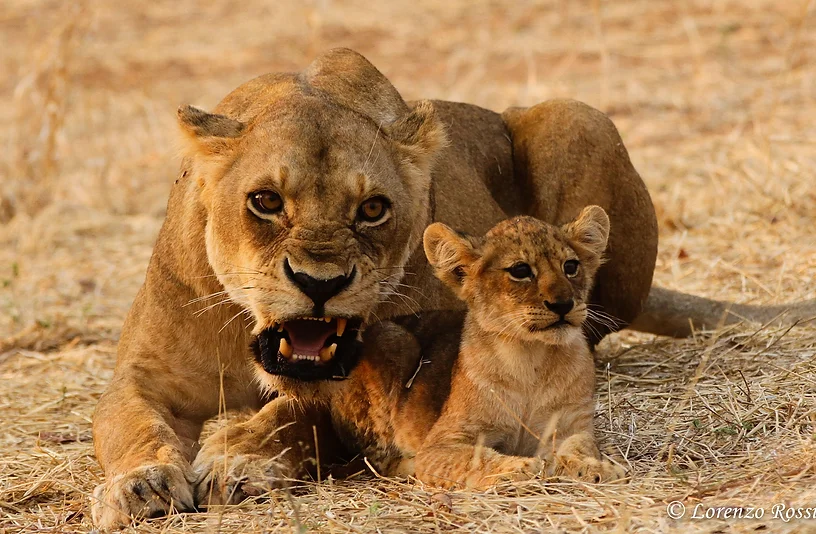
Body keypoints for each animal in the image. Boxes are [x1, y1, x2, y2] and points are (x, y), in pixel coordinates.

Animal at [91, 48, 815, 528]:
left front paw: (236, 460)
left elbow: (290, 419)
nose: (322, 285)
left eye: (373, 209)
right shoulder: (143, 375)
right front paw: (142, 486)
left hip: (576, 118)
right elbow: (130, 425)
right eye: (265, 201)